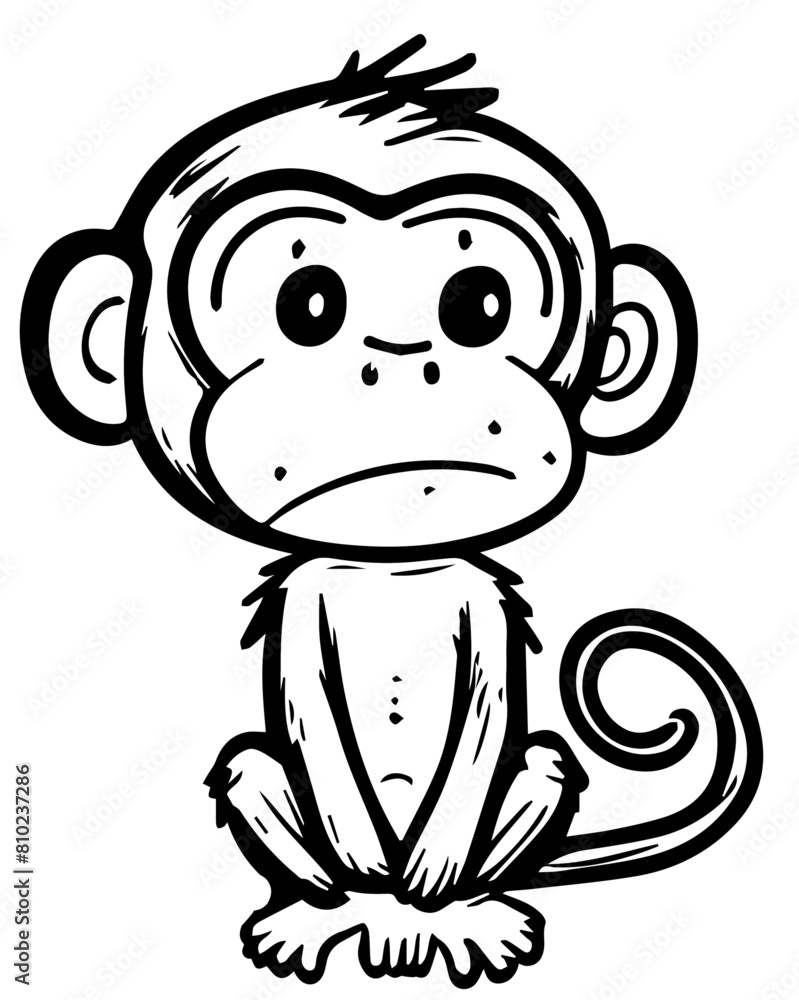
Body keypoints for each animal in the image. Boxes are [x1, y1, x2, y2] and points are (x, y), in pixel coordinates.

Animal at [21, 35, 762, 989]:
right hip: (268, 786)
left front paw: (430, 871)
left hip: (525, 791)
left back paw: (454, 913)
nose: (401, 357)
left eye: (480, 302)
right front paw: (371, 866)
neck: (392, 566)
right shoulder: (304, 604)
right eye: (305, 302)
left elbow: (485, 717)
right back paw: (339, 912)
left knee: (537, 768)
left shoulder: (480, 605)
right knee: (261, 774)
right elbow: (310, 716)